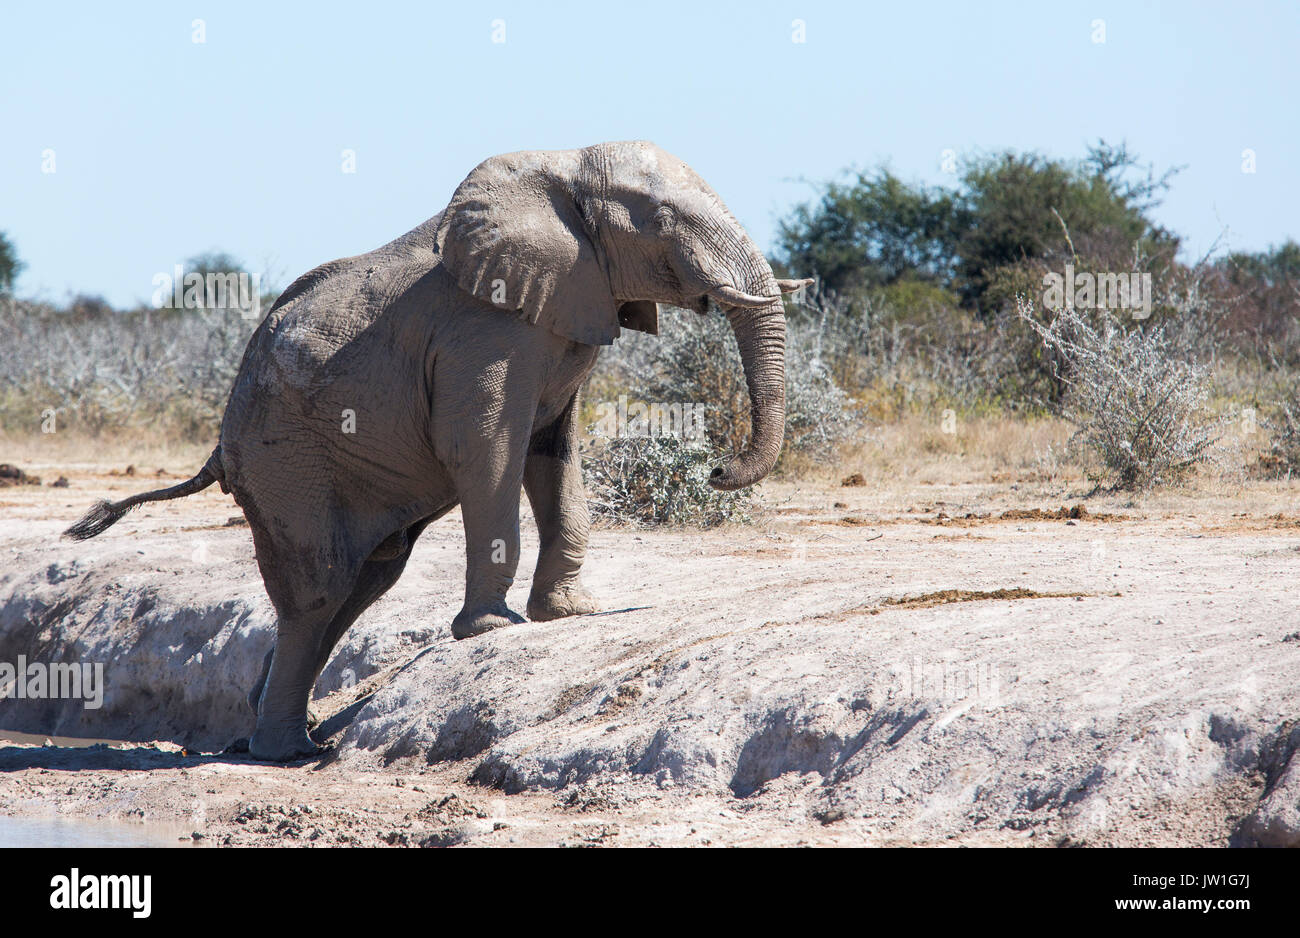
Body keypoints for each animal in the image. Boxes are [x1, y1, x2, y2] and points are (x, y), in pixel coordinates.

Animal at [65, 140, 810, 761]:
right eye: (661, 218)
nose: (716, 468)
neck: (562, 164)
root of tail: (219, 448)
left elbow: (553, 449)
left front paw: (569, 614)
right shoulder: (485, 326)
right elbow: (486, 448)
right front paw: (492, 629)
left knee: (364, 580)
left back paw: (272, 732)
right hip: (283, 462)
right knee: (319, 587)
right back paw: (286, 751)